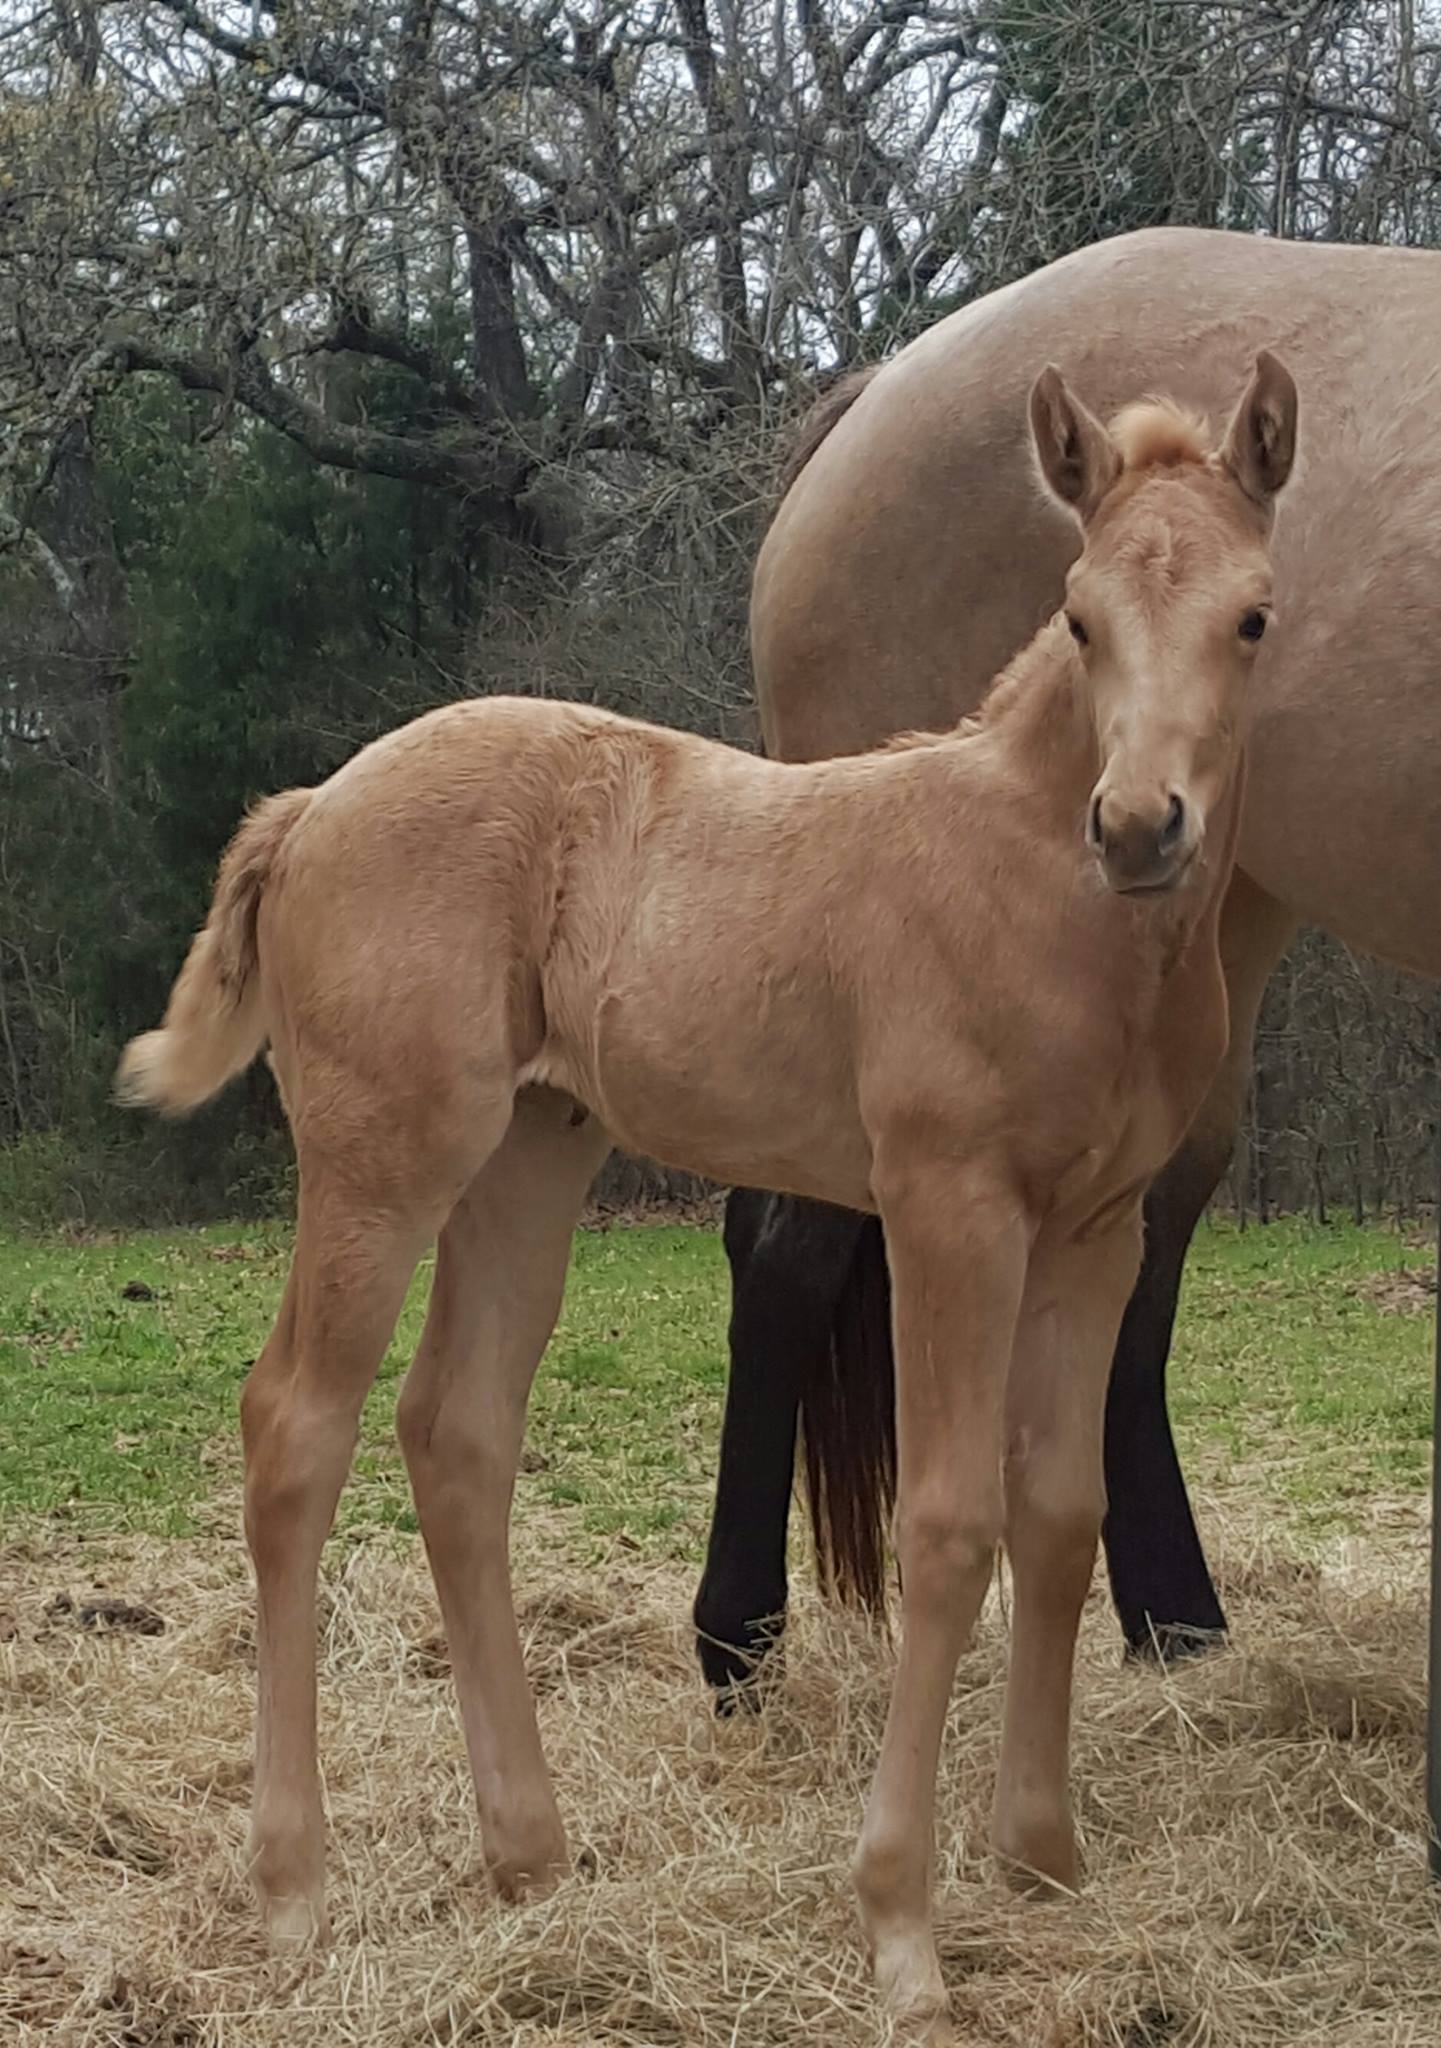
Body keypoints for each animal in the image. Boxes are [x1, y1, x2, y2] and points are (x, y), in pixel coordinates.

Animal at [119, 358, 1295, 2035]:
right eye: (1077, 616)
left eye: (1251, 617)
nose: (1139, 828)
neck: (1043, 894)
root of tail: (315, 804)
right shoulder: (946, 1207)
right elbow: (952, 1524)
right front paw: (901, 1932)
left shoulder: (1094, 1229)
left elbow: (1060, 1515)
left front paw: (1044, 1862)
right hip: (381, 1158)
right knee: (295, 1426)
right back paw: (292, 1892)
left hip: (532, 1155)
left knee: (455, 1433)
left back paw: (530, 1857)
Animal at [694, 225, 1441, 1701]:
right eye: (1078, 622)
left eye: (1258, 618)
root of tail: (871, 395)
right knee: (789, 1244)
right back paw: (736, 1639)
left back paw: (1178, 1622)